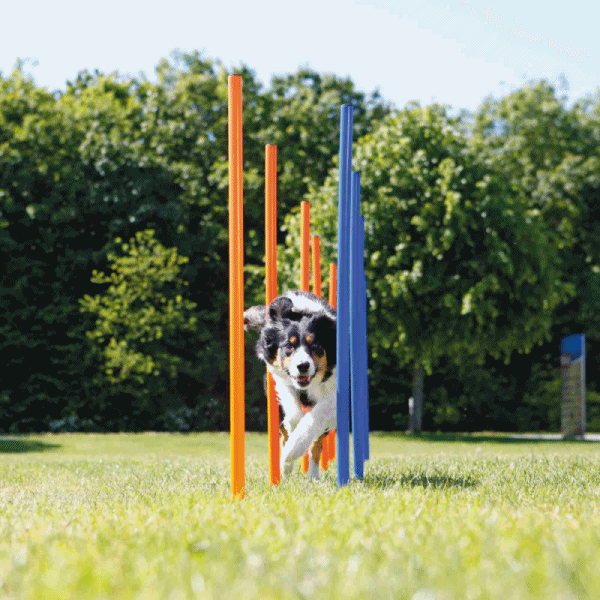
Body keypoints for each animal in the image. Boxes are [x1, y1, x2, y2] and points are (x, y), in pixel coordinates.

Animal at [244, 290, 338, 478]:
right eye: (288, 345)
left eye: (315, 345)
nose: (303, 366)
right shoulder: (280, 379)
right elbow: (294, 415)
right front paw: (288, 454)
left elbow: (316, 415)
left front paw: (295, 448)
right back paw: (286, 469)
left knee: (317, 443)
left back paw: (313, 476)